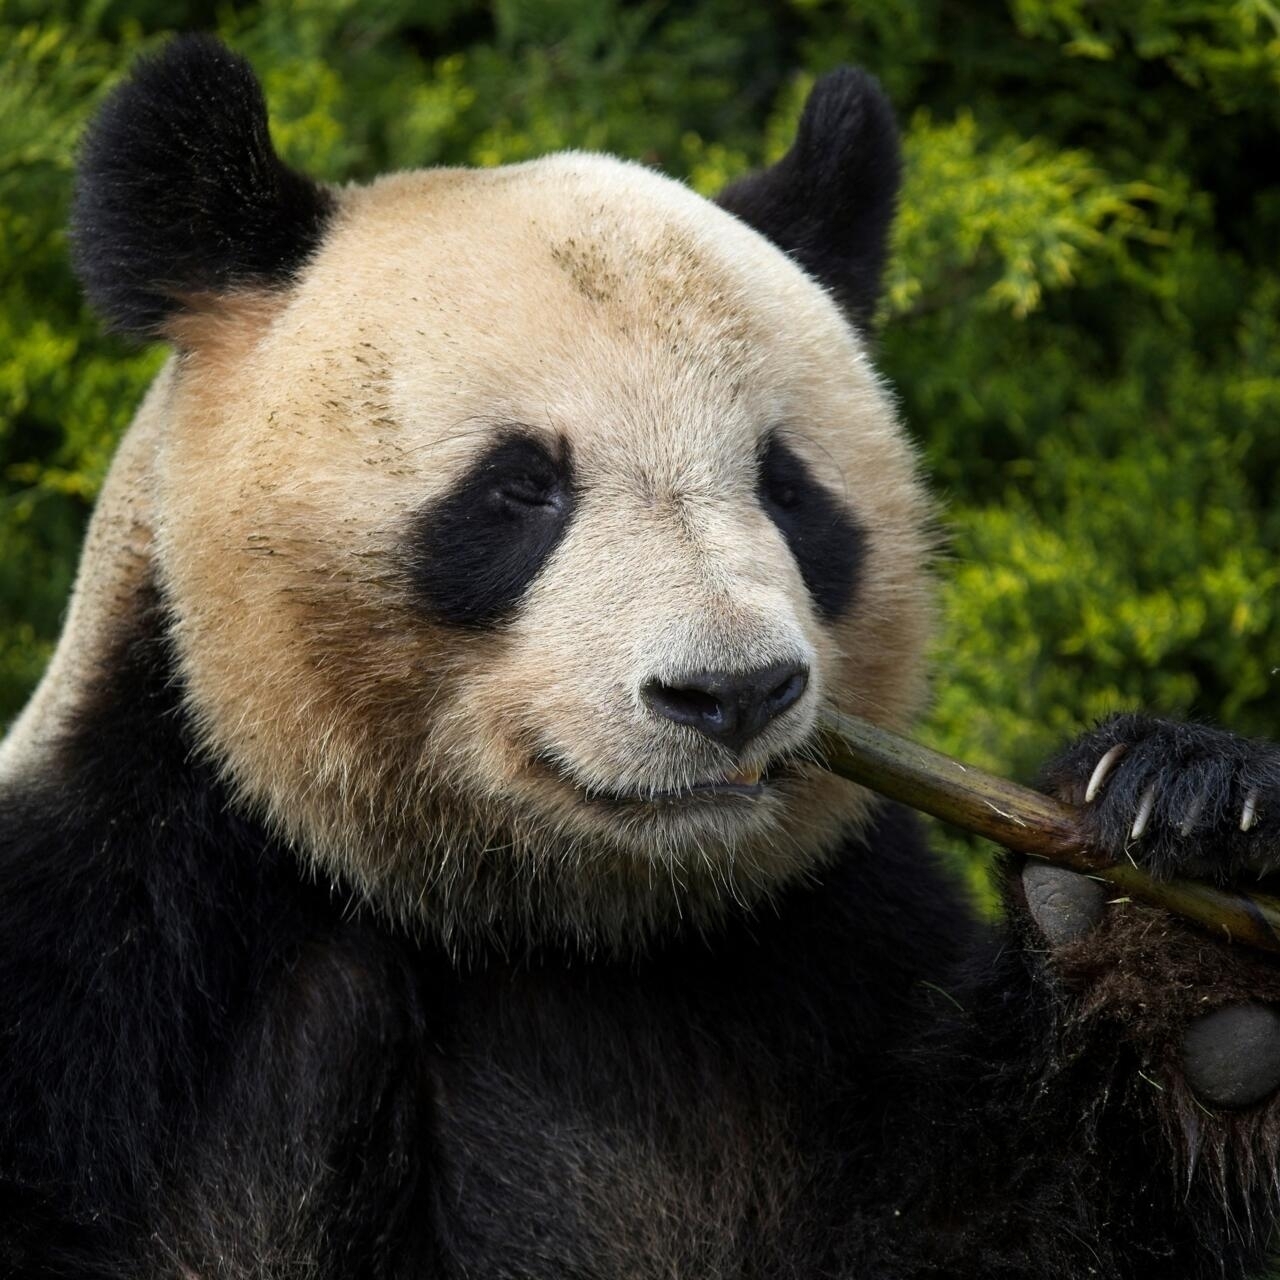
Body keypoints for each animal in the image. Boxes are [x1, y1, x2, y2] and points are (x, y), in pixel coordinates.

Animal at [3, 32, 1280, 1279]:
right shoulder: (126, 957)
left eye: (786, 486)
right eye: (521, 486)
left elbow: (986, 1221)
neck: (543, 923)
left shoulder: (818, 963)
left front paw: (1177, 890)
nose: (729, 693)